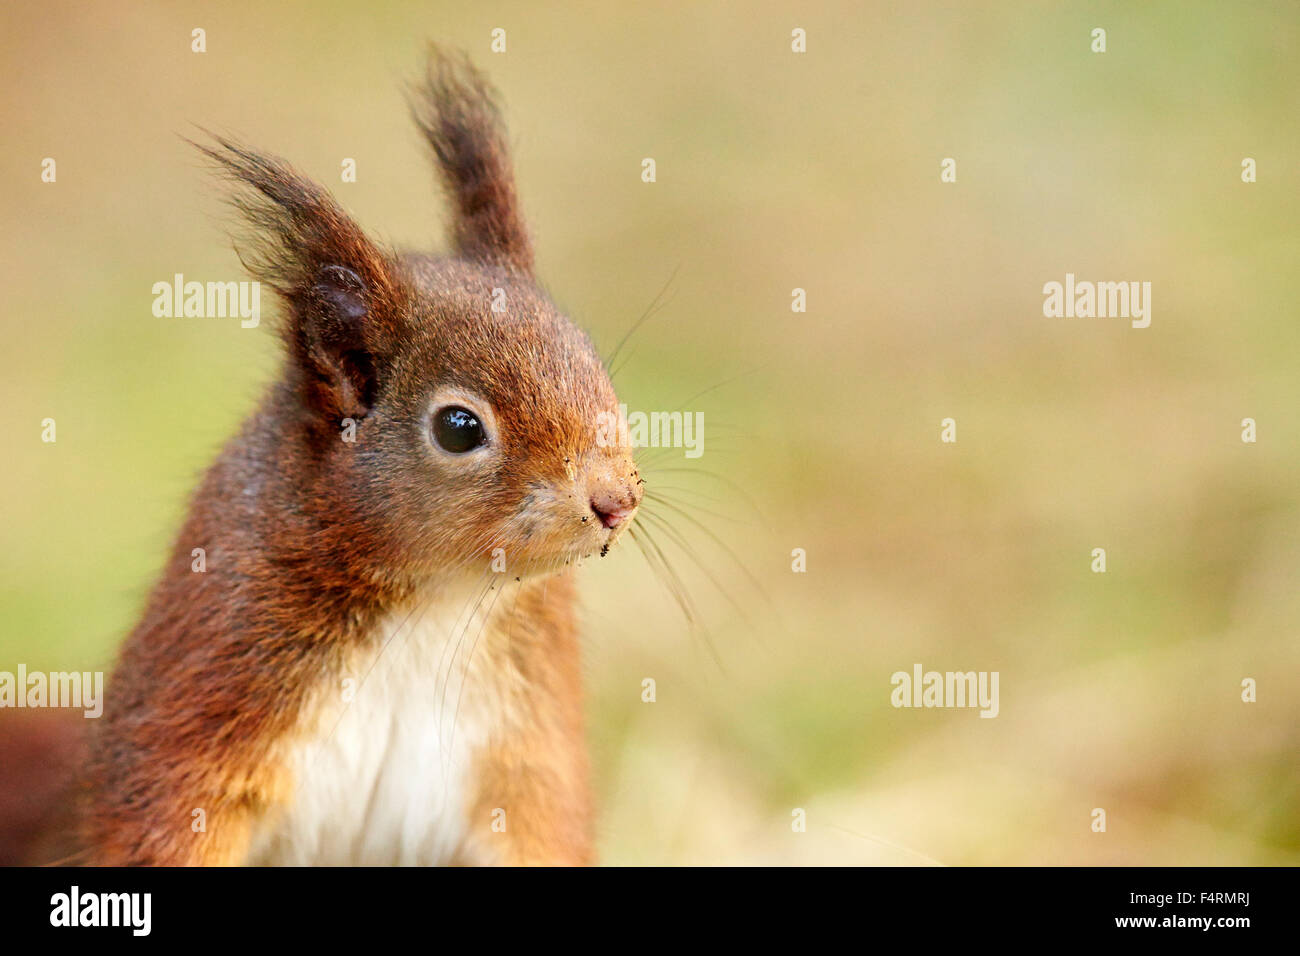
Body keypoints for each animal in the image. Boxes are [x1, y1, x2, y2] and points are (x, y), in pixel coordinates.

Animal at [74, 47, 643, 866]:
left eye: (588, 355)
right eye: (460, 428)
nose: (615, 501)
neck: (434, 600)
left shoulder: (523, 754)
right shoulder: (213, 677)